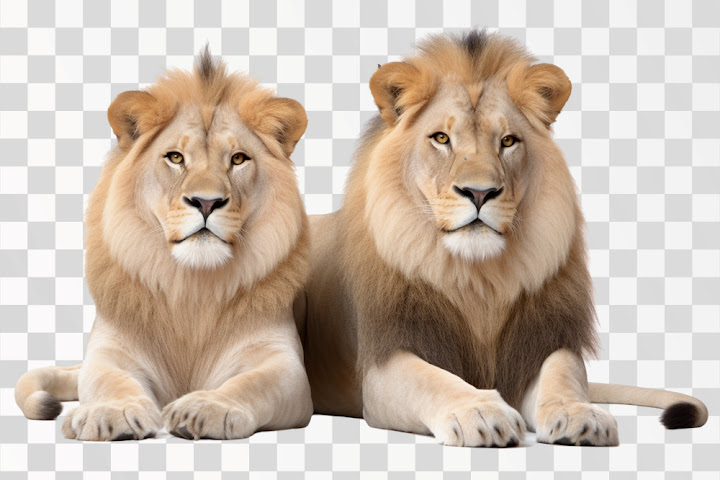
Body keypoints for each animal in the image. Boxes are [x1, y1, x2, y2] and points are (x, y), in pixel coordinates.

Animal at [15, 49, 314, 441]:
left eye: (237, 159)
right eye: (175, 157)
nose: (206, 202)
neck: (191, 287)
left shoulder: (286, 365)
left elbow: (252, 384)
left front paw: (206, 407)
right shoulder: (108, 351)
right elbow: (110, 380)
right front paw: (112, 413)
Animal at [298, 31, 708, 447]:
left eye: (508, 141)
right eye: (441, 138)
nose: (479, 193)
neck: (478, 280)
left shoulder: (541, 340)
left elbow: (563, 375)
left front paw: (579, 414)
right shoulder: (384, 360)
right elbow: (434, 380)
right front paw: (481, 411)